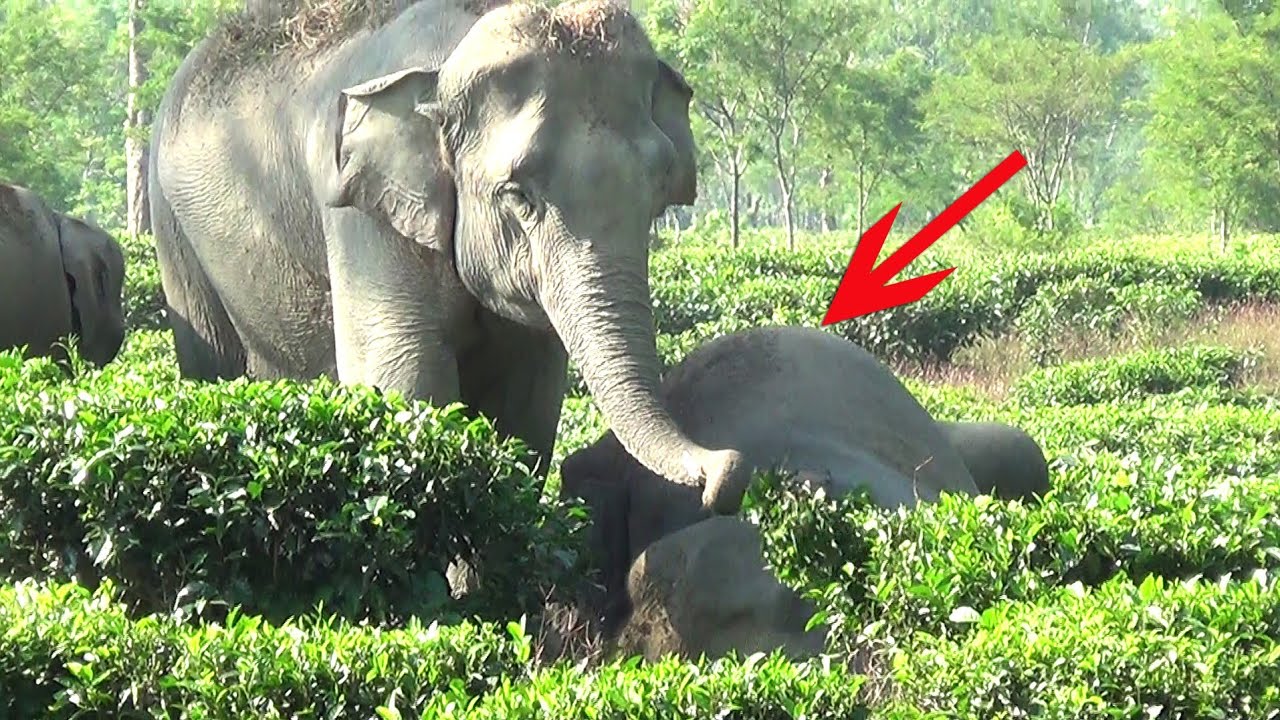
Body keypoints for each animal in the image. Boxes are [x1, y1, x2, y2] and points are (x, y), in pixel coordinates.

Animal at [148, 0, 747, 510]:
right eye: (518, 196)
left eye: (656, 194)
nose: (728, 469)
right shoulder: (361, 212)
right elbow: (404, 376)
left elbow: (525, 404)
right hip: (172, 230)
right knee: (211, 363)